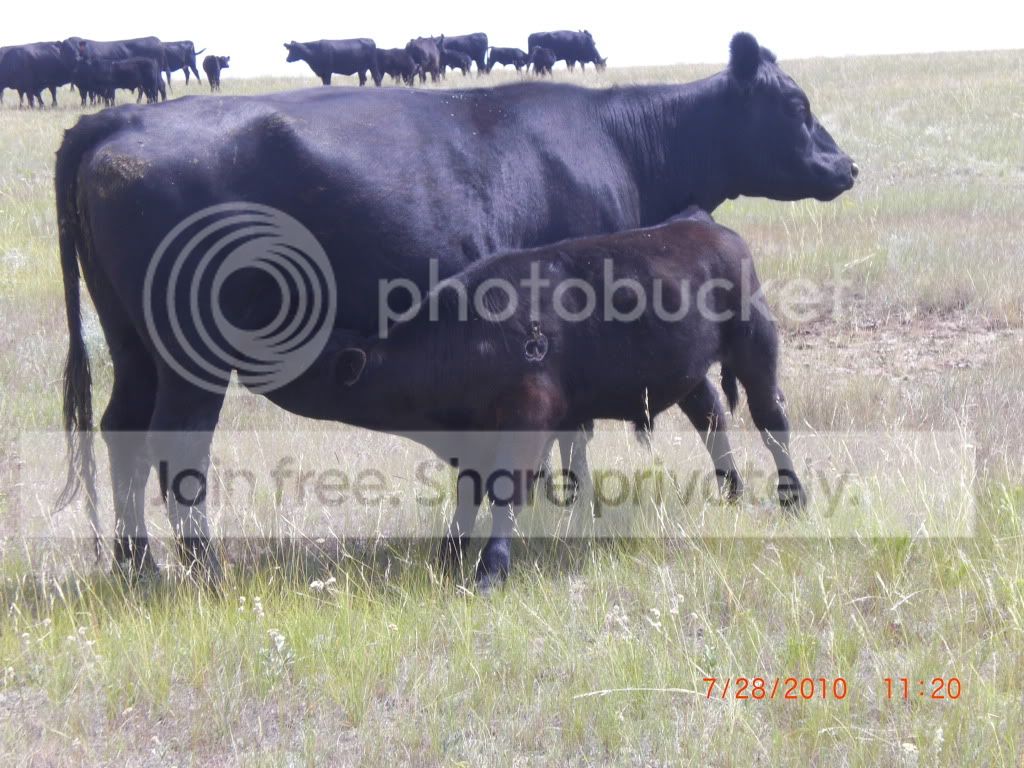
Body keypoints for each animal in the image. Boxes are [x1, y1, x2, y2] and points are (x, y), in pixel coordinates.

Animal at [54, 33, 857, 586]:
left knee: (122, 434)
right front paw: (572, 508)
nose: (847, 166)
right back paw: (204, 571)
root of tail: (114, 124)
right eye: (796, 106)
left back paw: (137, 565)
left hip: (132, 346)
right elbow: (580, 435)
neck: (622, 141)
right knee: (180, 449)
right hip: (191, 356)